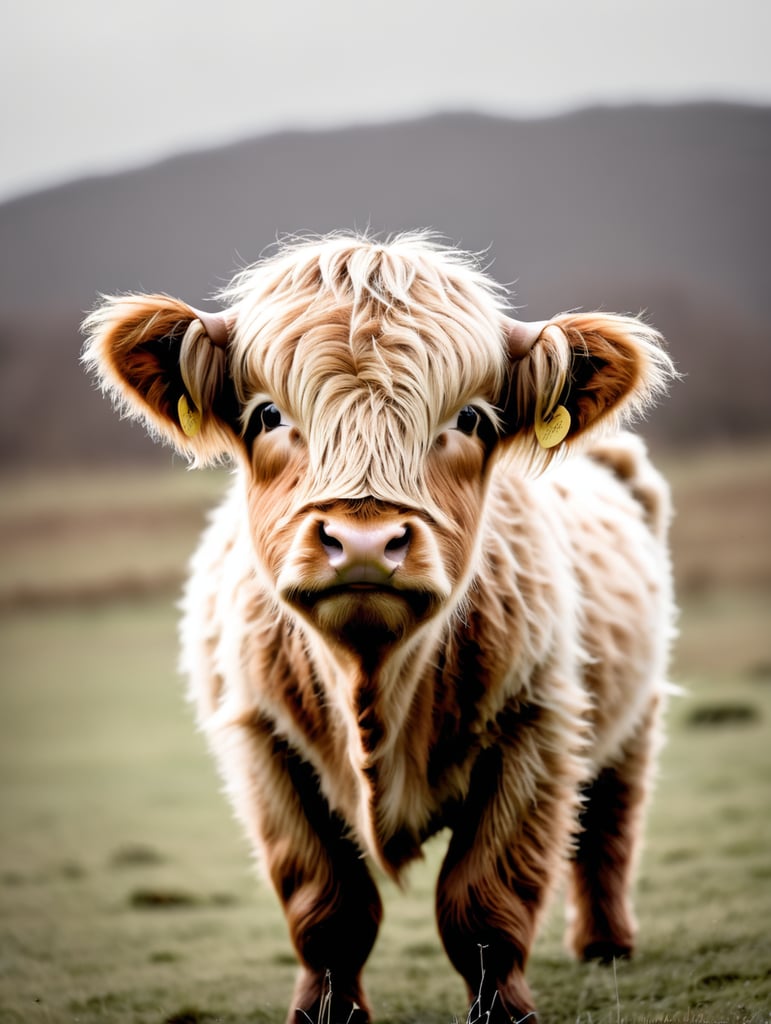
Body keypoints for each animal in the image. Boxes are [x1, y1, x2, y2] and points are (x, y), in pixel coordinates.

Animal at [82, 233, 677, 1023]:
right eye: (266, 415)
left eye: (471, 419)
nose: (364, 543)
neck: (374, 682)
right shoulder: (264, 744)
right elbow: (328, 907)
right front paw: (325, 1013)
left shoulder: (535, 727)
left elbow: (482, 902)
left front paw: (503, 1012)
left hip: (635, 717)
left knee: (610, 823)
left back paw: (606, 943)